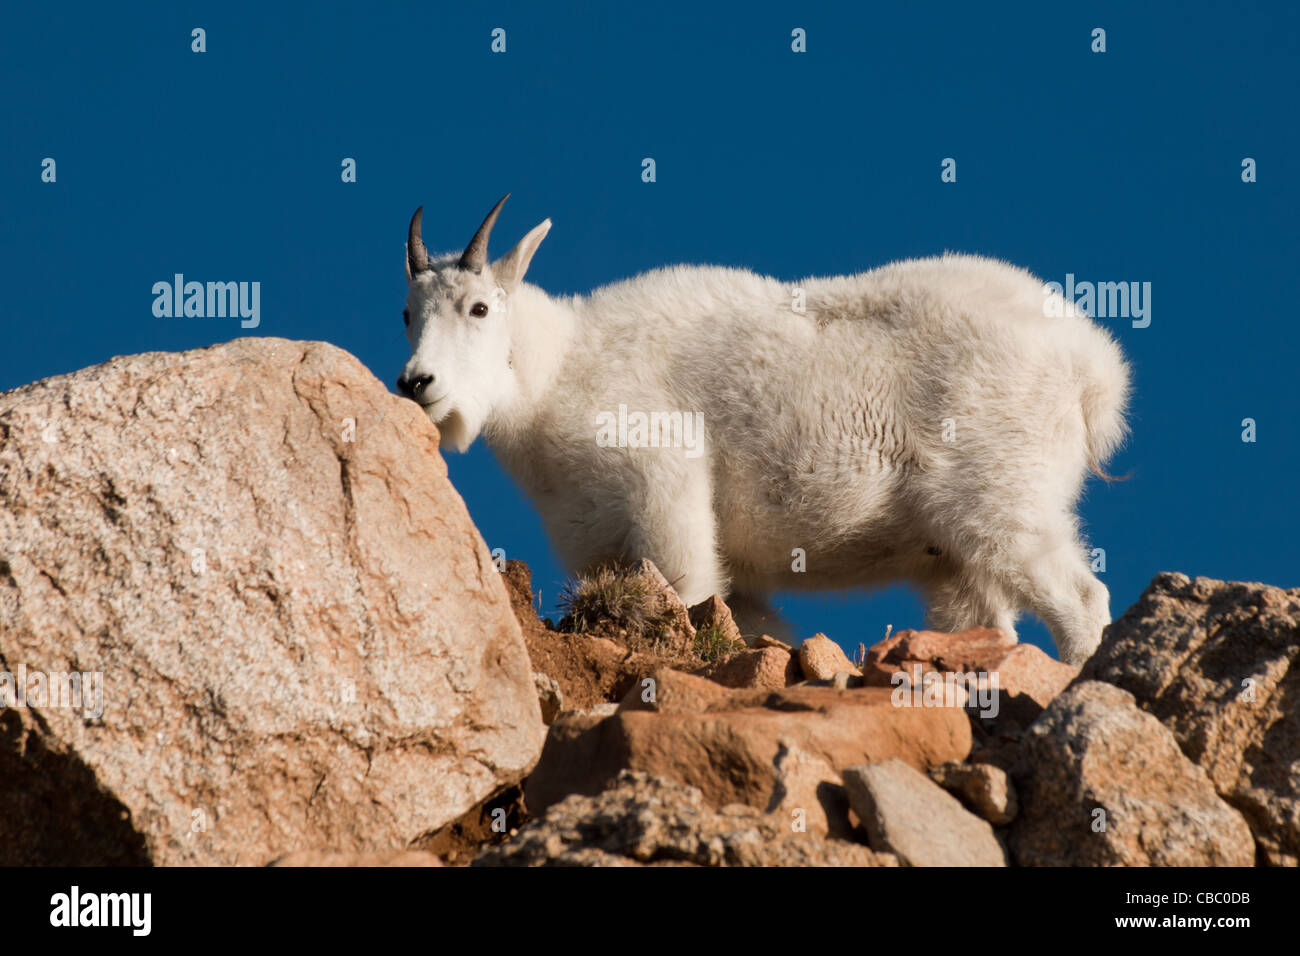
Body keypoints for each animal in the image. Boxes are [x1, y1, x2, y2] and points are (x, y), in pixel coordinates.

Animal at [397, 195, 1130, 665]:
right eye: (406, 313)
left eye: (479, 307)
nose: (416, 384)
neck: (557, 373)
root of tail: (1094, 368)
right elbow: (747, 618)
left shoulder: (663, 479)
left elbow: (691, 589)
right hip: (954, 555)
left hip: (1005, 493)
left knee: (1081, 598)